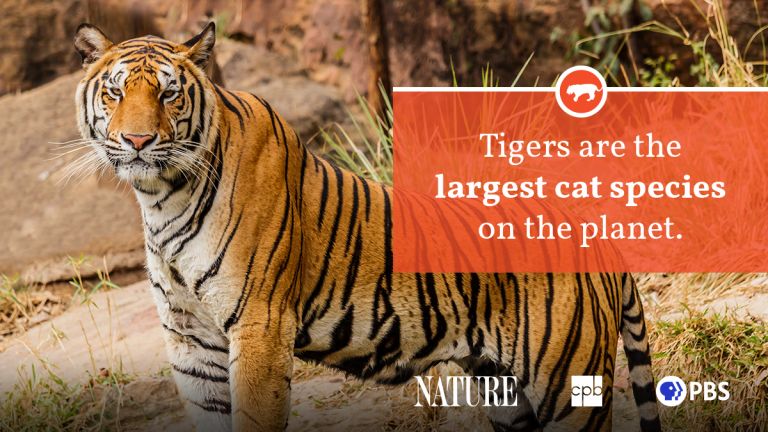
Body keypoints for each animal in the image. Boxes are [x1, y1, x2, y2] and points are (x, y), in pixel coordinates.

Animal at [73, 22, 661, 432]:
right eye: (115, 93)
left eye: (169, 94)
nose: (137, 142)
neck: (161, 197)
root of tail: (597, 241)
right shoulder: (190, 339)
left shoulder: (261, 325)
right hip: (505, 391)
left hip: (568, 386)